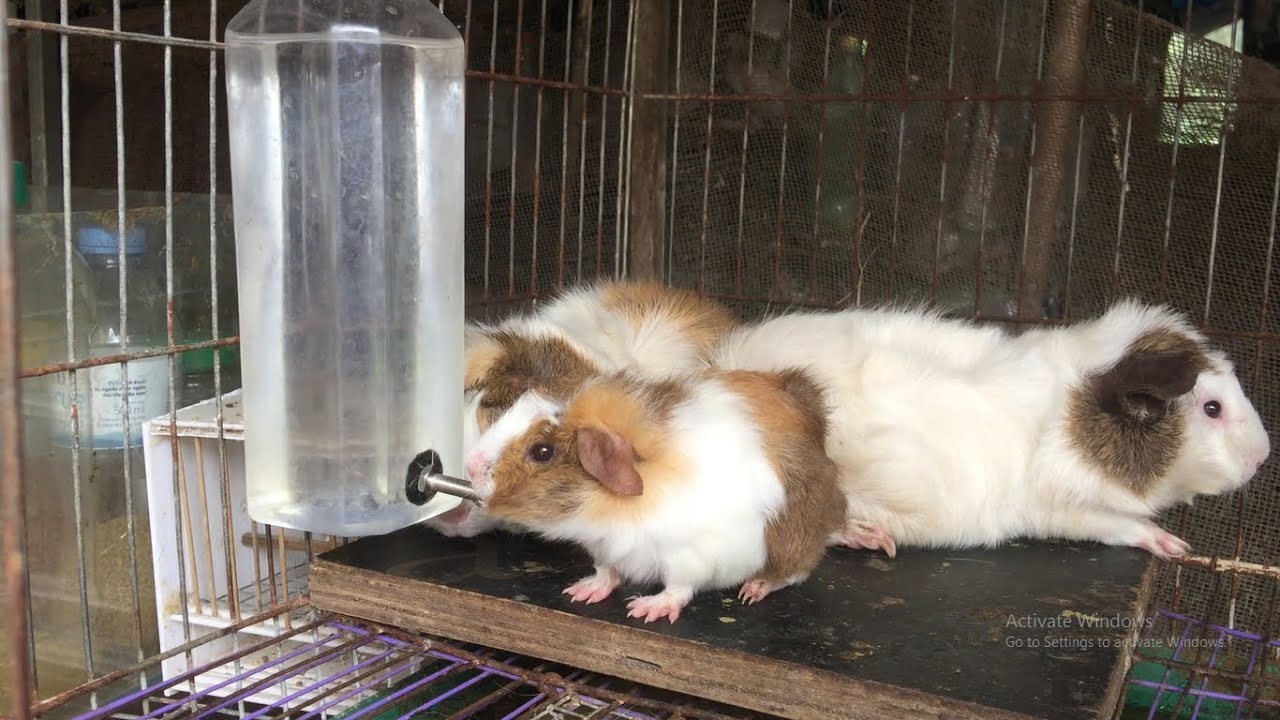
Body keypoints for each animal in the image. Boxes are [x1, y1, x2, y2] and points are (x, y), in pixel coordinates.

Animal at [460, 366, 847, 624]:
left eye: (542, 451)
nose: (470, 465)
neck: (604, 513)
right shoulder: (603, 548)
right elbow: (606, 572)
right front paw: (581, 592)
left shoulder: (687, 557)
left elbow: (678, 589)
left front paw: (643, 610)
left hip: (791, 540)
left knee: (793, 573)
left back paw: (753, 590)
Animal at [710, 298, 1271, 560]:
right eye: (1212, 408)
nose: (1262, 455)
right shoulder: (1064, 508)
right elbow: (1119, 526)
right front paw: (1171, 544)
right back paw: (872, 538)